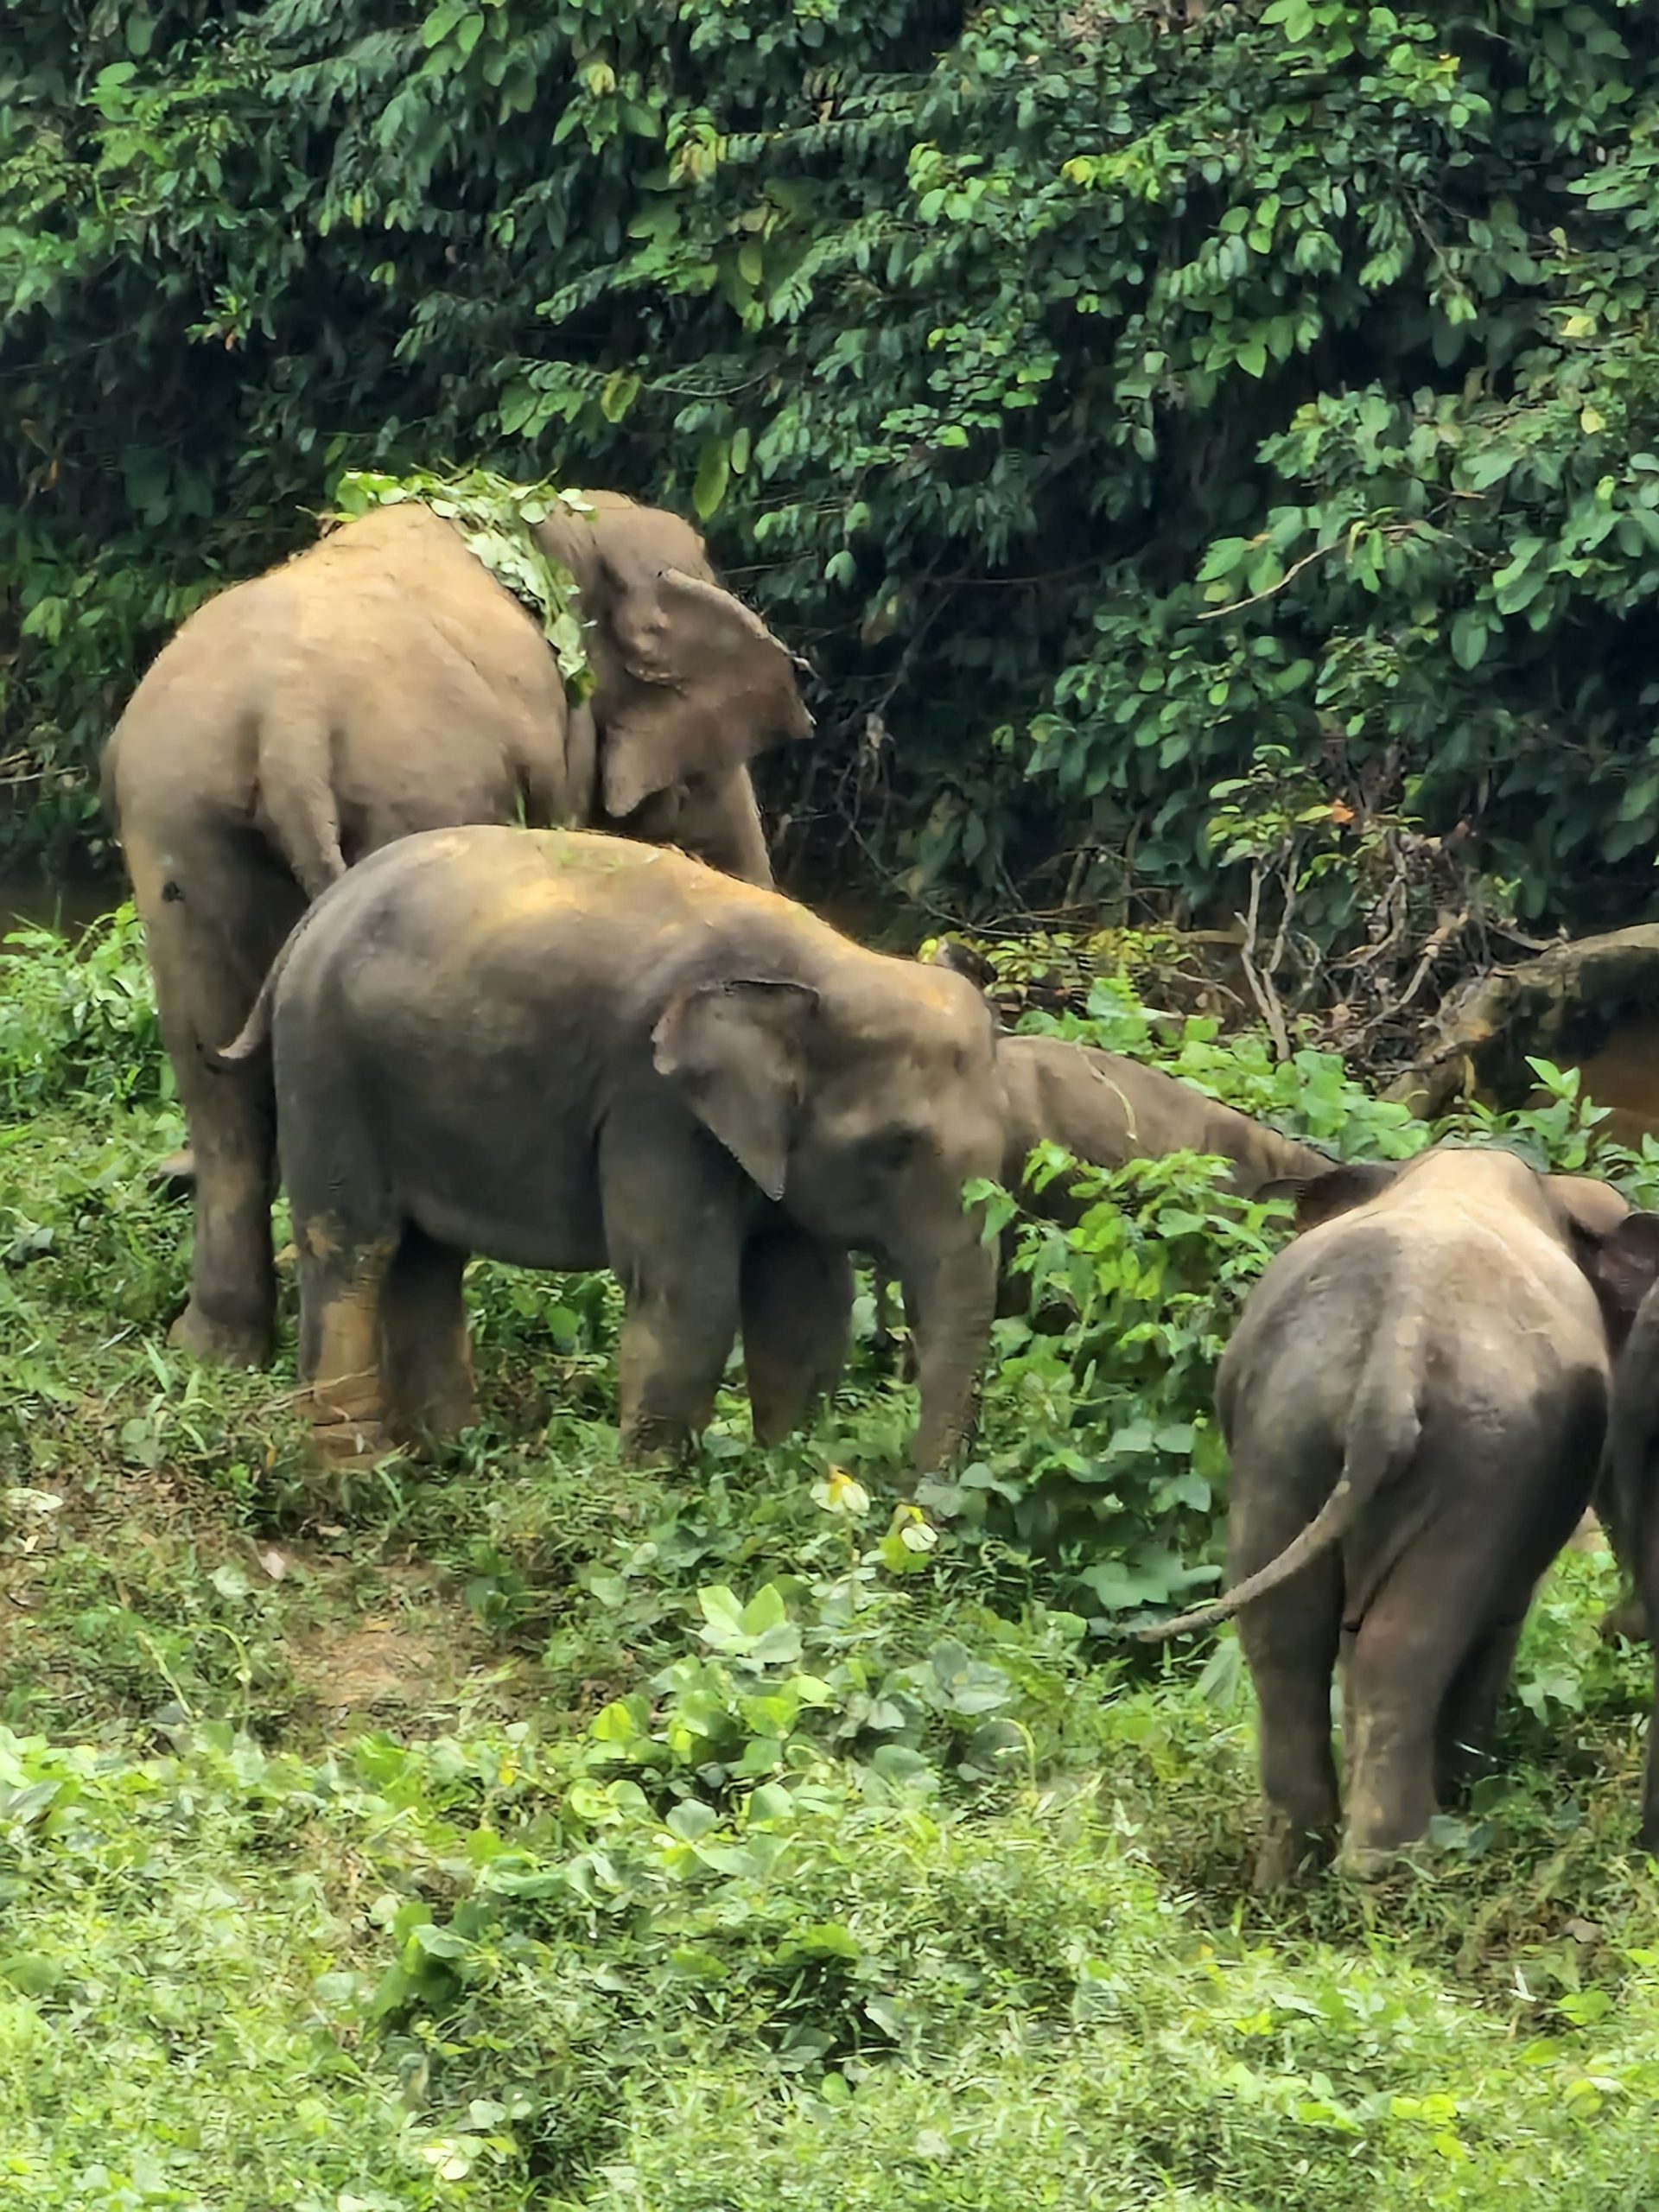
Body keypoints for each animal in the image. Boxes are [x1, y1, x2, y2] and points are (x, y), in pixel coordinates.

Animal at [102, 489, 814, 1367]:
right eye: (705, 761)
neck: (572, 527)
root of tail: (288, 721)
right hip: (417, 796)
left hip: (180, 822)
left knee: (215, 1076)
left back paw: (214, 1347)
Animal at [217, 823, 1007, 1480]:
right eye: (896, 1147)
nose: (913, 1495)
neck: (832, 966)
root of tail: (320, 910)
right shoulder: (654, 1106)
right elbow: (688, 1291)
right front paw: (652, 1490)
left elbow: (807, 1303)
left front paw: (789, 1478)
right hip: (327, 1060)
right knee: (353, 1245)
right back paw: (356, 1472)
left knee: (425, 1256)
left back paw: (455, 1454)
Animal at [1138, 1146, 1658, 1887]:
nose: (1614, 1629)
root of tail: (1395, 1347)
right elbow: (1501, 1618)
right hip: (1479, 1458)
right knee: (1406, 1638)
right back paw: (1394, 1863)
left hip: (1288, 1428)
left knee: (1286, 1633)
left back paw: (1294, 1871)